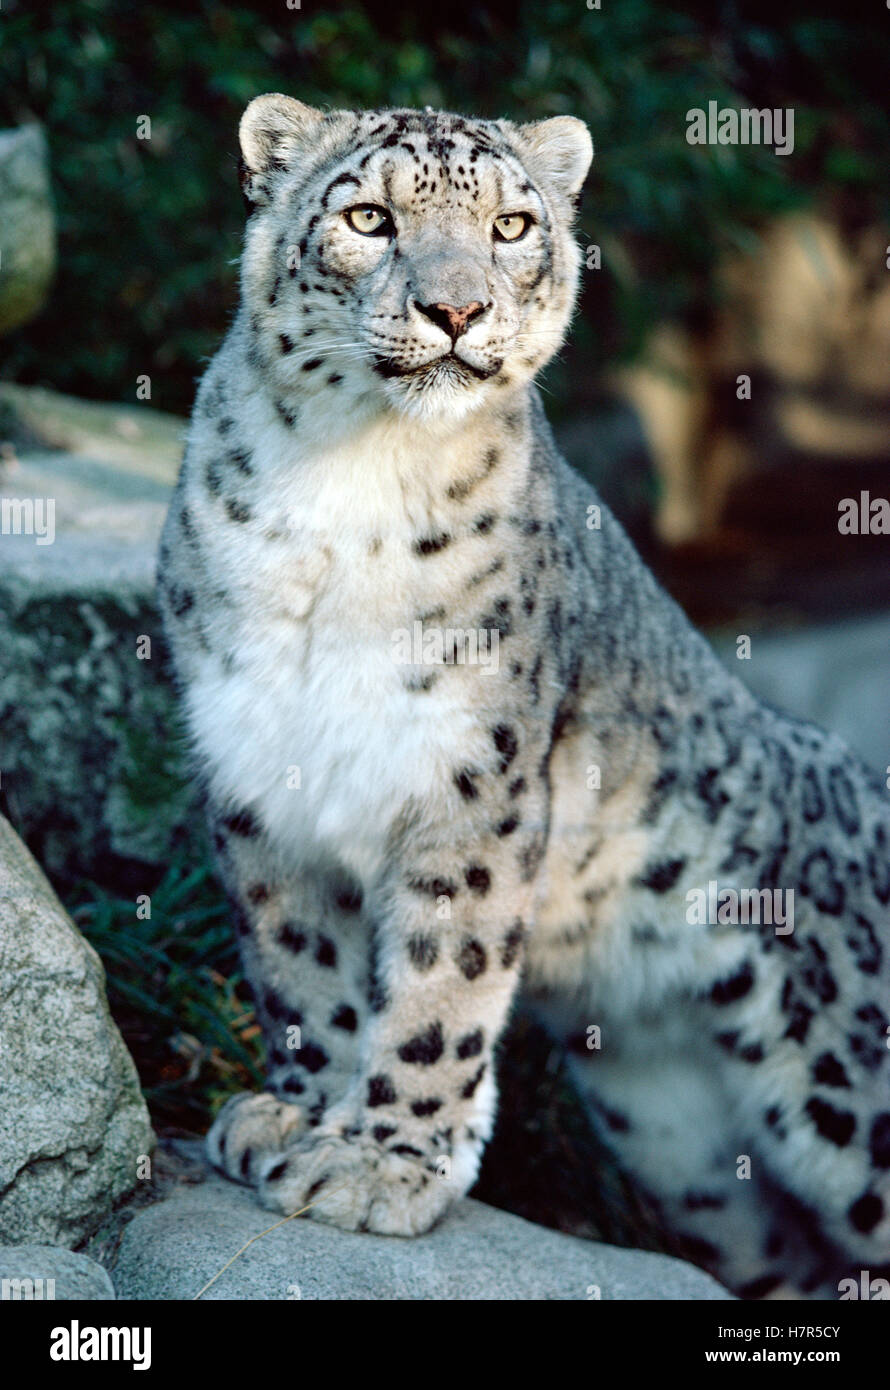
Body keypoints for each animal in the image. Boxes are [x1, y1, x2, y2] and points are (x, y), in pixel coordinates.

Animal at [157, 94, 890, 1300]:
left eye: (508, 225)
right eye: (368, 216)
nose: (454, 308)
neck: (345, 482)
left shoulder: (472, 779)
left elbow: (437, 987)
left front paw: (381, 1164)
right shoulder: (259, 774)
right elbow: (299, 967)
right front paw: (302, 1114)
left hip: (846, 1092)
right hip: (678, 1141)